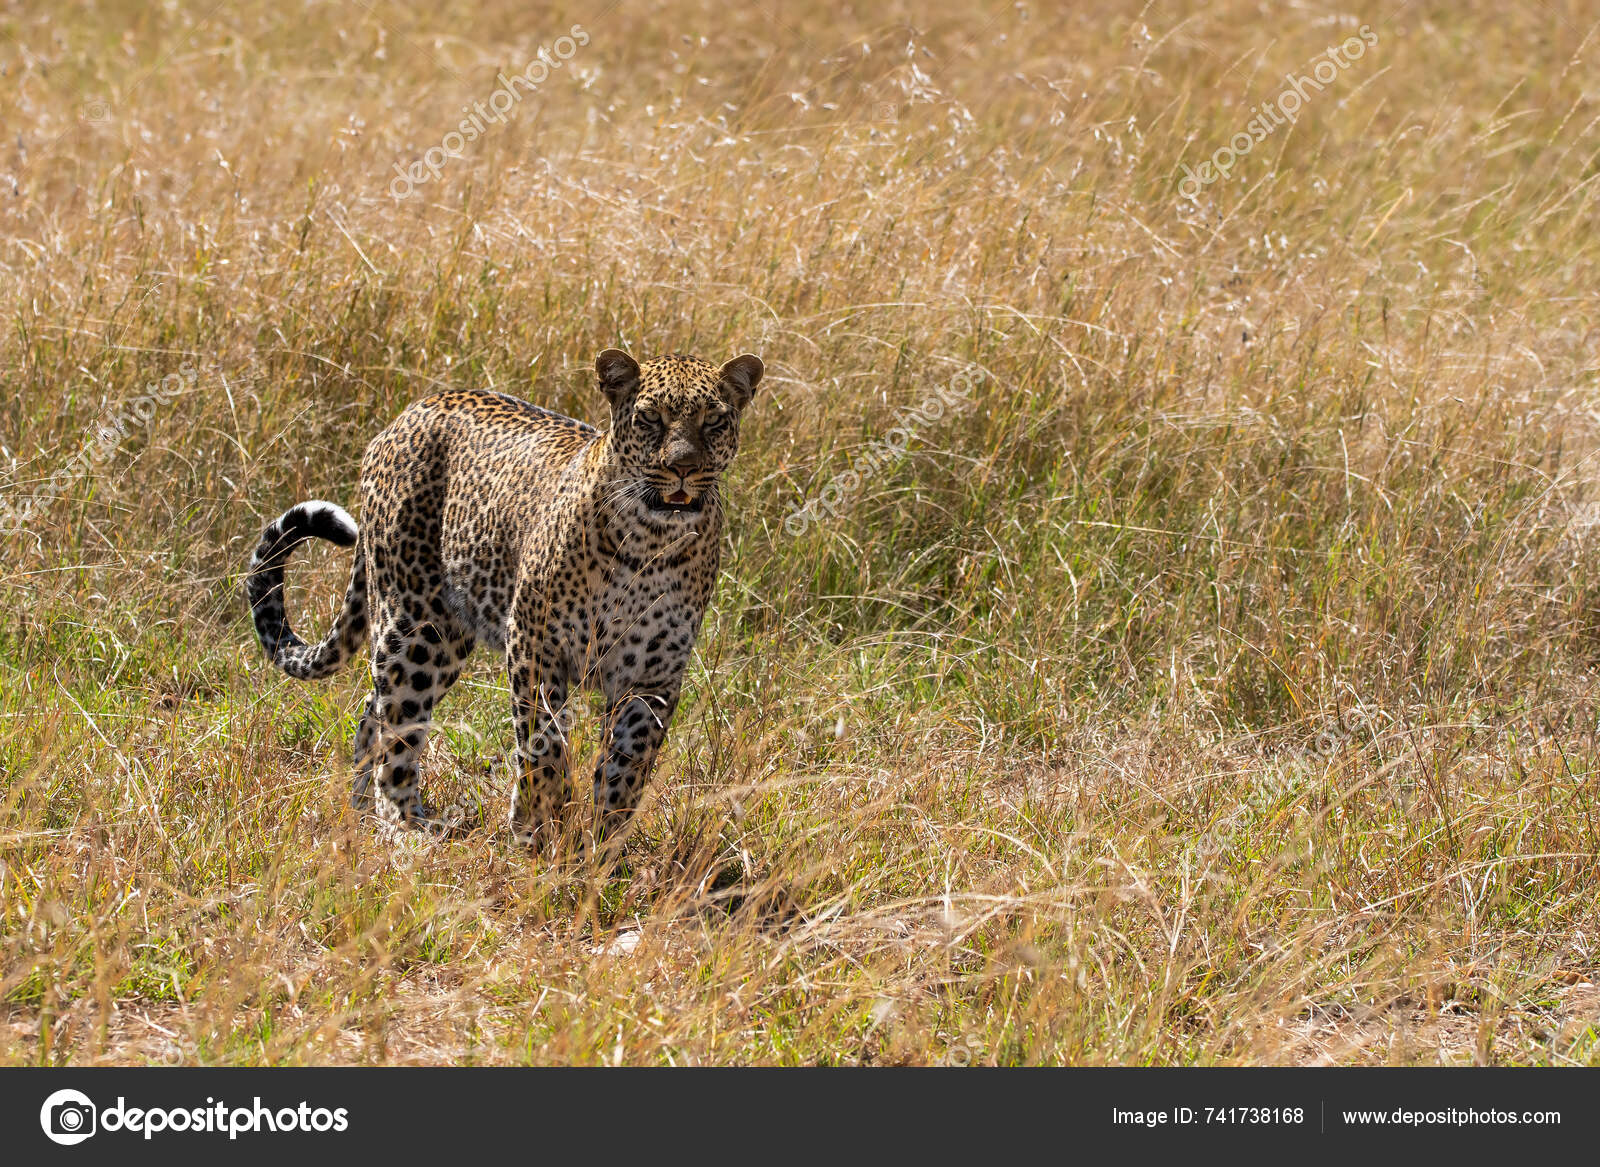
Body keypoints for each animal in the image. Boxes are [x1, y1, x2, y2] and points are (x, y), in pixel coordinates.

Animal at [245, 348, 764, 850]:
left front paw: (602, 849)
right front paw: (537, 831)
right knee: (396, 728)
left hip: (442, 636)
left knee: (372, 711)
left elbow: (626, 769)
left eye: (714, 421)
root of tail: (408, 413)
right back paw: (404, 829)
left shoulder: (653, 675)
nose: (683, 468)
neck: (649, 543)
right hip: (415, 627)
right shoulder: (536, 644)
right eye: (651, 418)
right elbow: (545, 745)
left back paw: (360, 815)